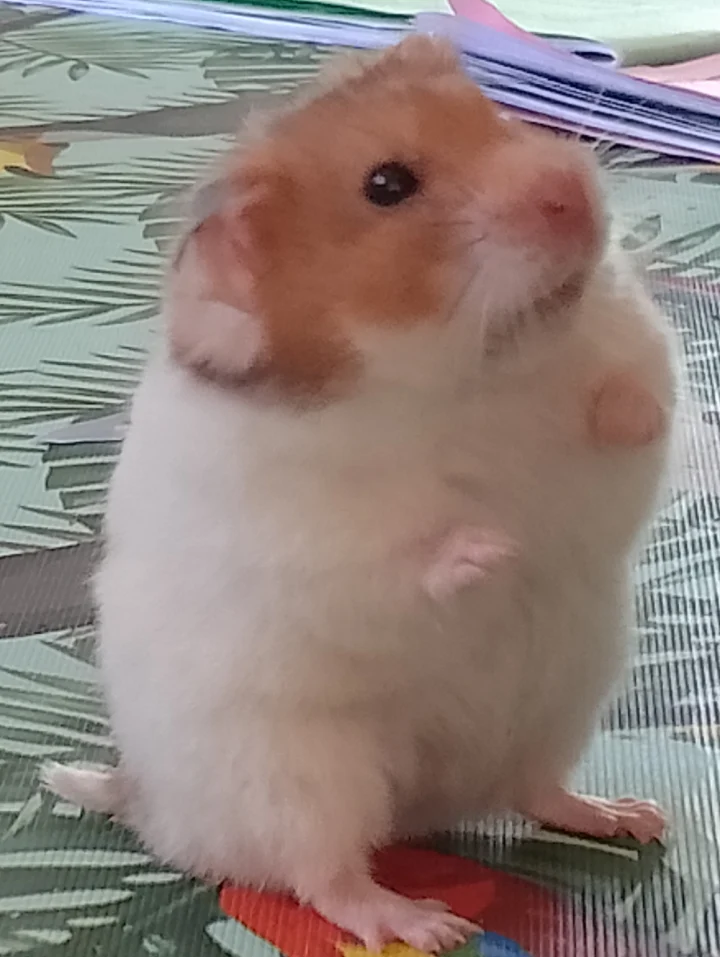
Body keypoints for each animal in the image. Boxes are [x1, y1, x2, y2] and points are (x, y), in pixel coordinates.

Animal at [43, 36, 677, 954]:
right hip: (300, 775)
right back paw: (426, 919)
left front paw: (631, 411)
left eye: (497, 113)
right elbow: (401, 555)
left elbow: (642, 392)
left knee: (536, 793)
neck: (473, 369)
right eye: (387, 185)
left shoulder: (626, 339)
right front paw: (491, 545)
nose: (577, 193)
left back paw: (632, 814)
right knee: (324, 874)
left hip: (562, 705)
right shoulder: (313, 535)